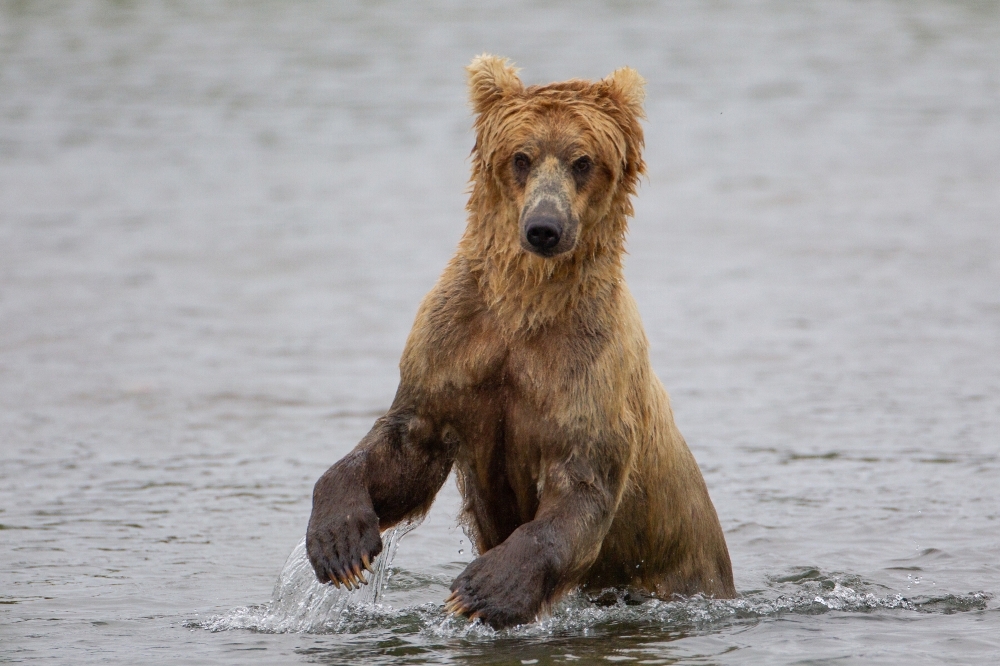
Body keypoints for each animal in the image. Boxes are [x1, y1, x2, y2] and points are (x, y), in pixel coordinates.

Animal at [306, 54, 736, 629]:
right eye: (521, 157)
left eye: (582, 161)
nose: (544, 227)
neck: (525, 308)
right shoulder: (457, 343)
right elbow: (405, 448)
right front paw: (339, 540)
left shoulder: (587, 370)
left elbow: (580, 487)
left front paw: (483, 588)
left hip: (685, 569)